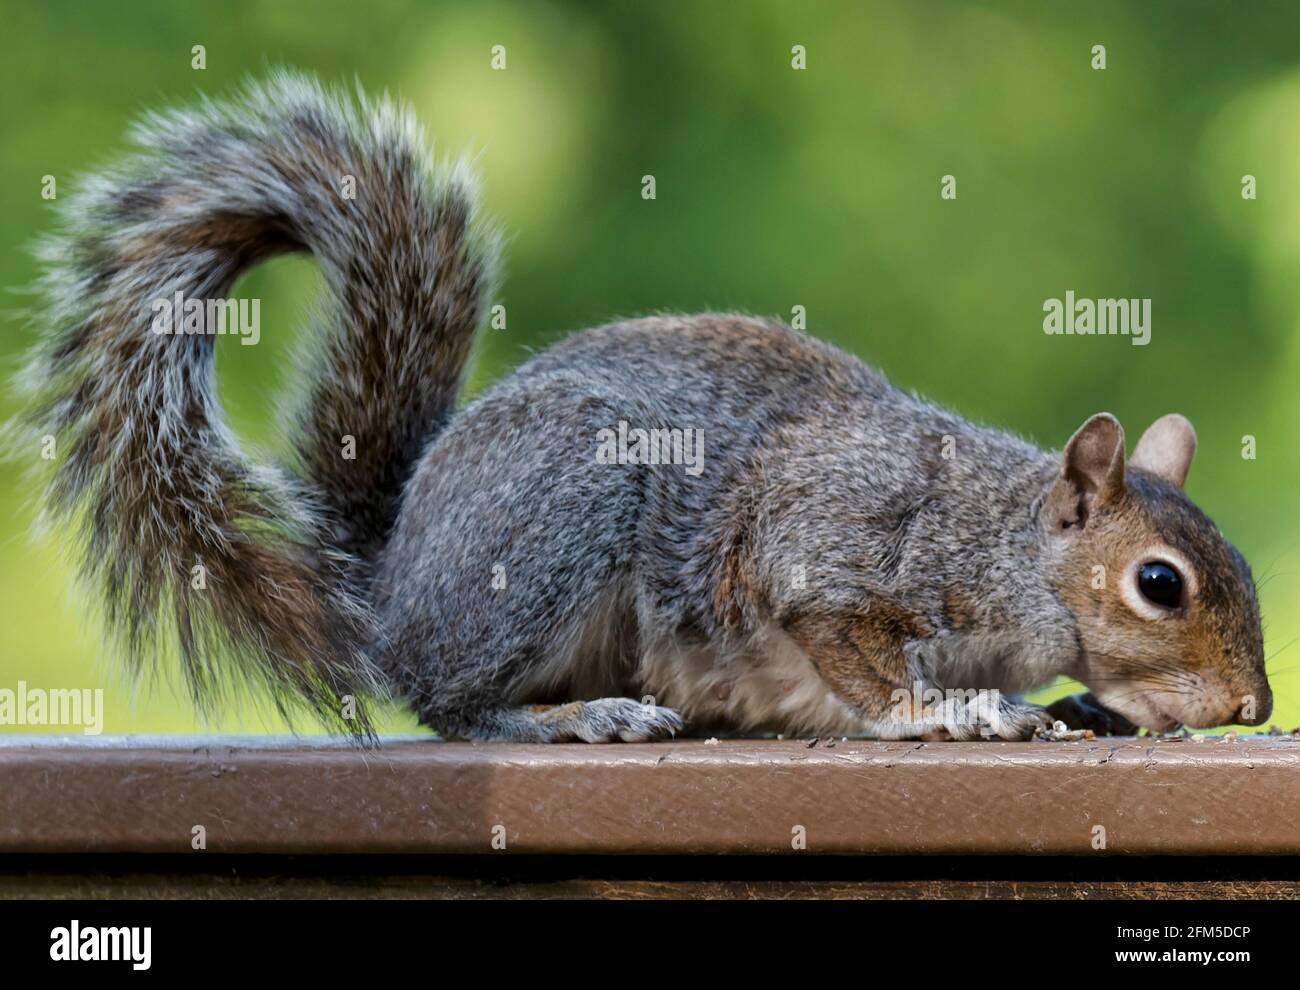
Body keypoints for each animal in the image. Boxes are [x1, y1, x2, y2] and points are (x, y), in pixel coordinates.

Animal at [15, 73, 1272, 743]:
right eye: (1158, 584)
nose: (1253, 705)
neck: (1005, 544)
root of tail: (393, 577)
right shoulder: (831, 552)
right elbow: (853, 650)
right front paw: (946, 713)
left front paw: (1072, 708)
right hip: (561, 511)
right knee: (446, 699)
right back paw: (567, 719)